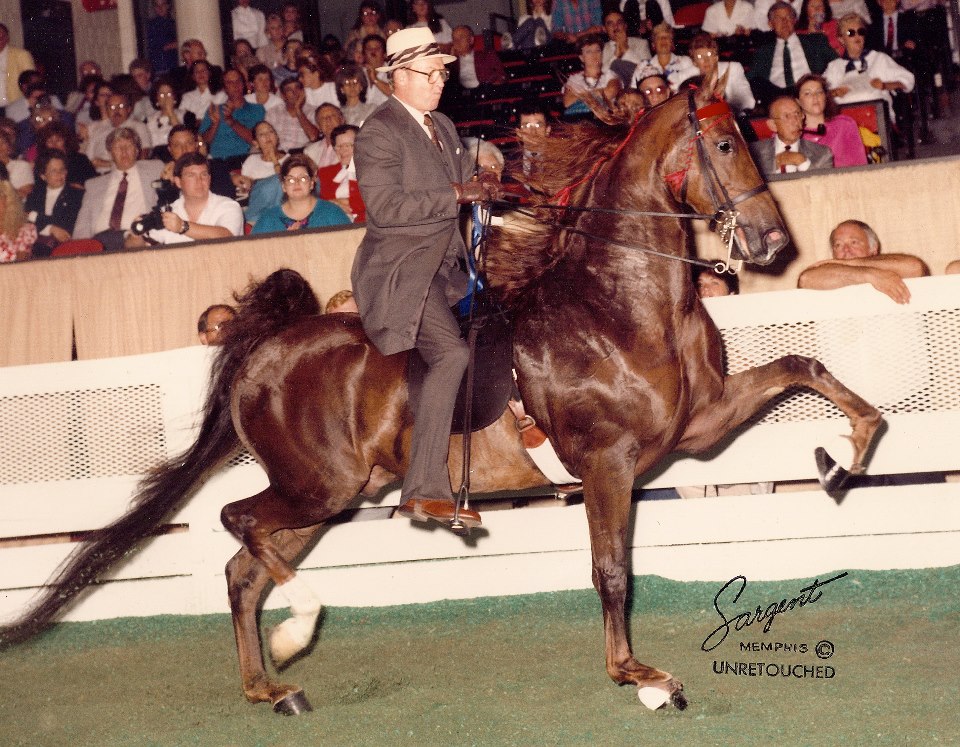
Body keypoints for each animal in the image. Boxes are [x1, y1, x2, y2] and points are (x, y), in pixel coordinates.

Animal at [0, 72, 883, 715]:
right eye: (727, 143)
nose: (771, 242)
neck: (619, 302)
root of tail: (264, 351)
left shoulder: (699, 423)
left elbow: (802, 367)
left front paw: (846, 456)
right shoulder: (608, 462)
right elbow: (612, 572)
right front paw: (641, 675)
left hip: (327, 497)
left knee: (242, 569)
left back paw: (272, 683)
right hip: (318, 487)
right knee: (236, 524)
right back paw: (297, 629)